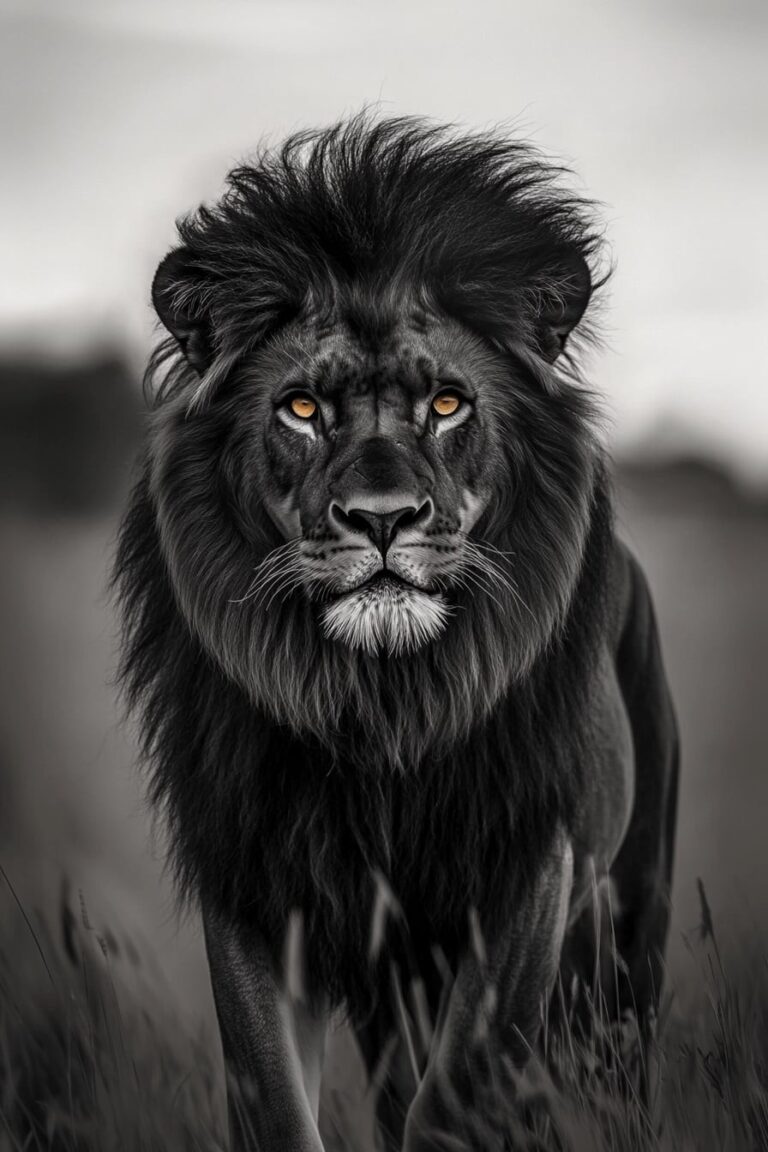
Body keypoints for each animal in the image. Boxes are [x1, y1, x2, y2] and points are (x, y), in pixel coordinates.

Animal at [115, 115, 679, 1151]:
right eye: (302, 408)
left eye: (447, 402)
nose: (383, 518)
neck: (383, 705)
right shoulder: (254, 885)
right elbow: (275, 1103)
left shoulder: (529, 870)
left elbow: (454, 1095)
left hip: (627, 930)